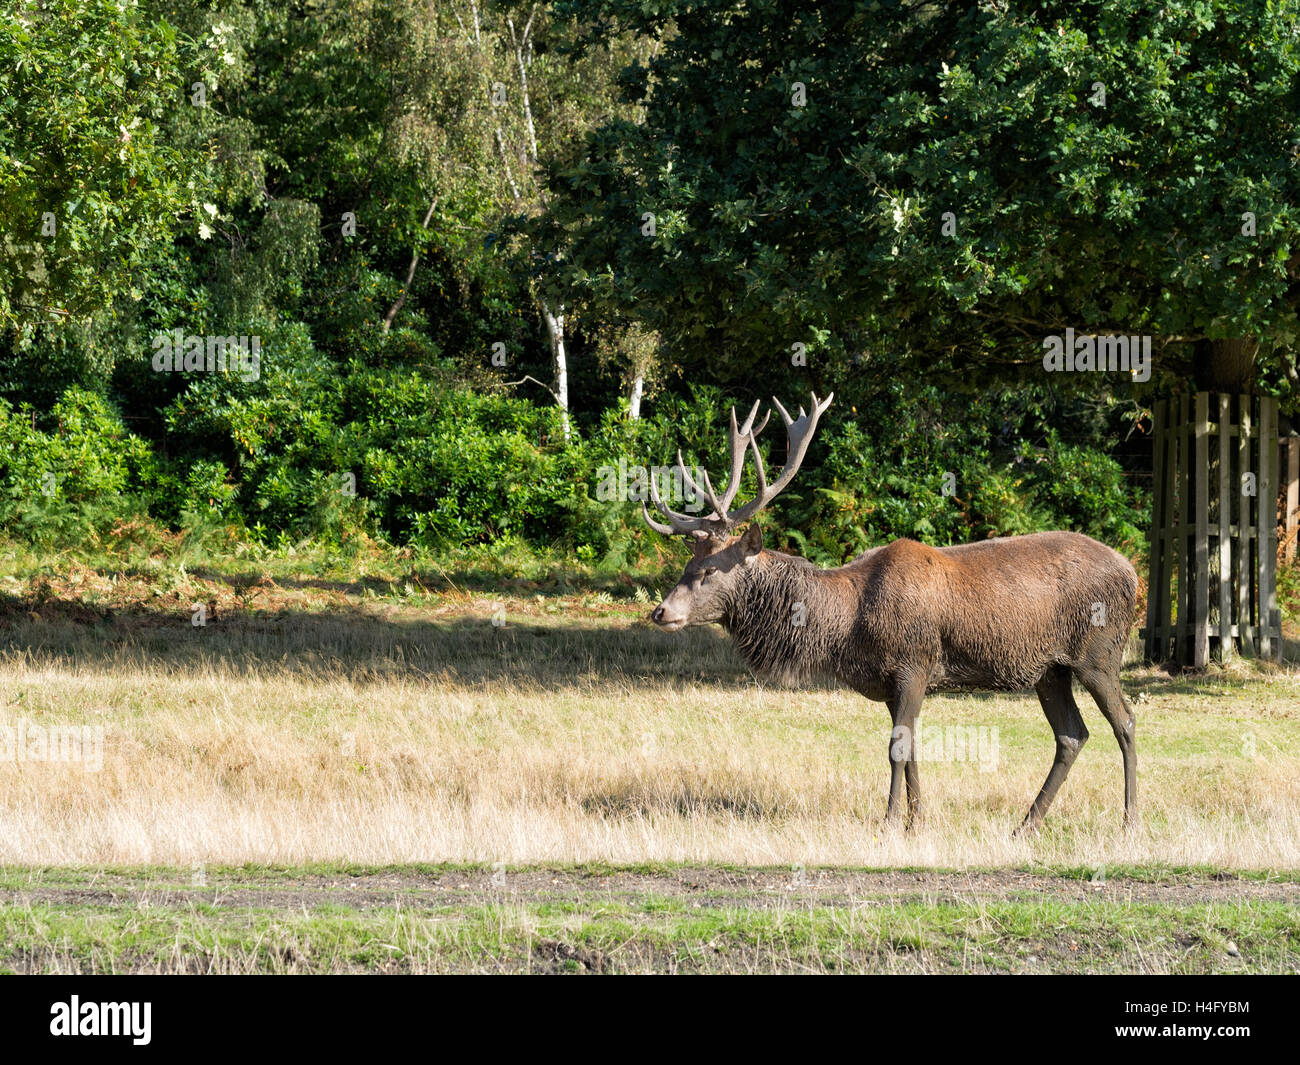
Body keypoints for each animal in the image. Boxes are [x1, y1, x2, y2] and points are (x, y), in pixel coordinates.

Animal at [642, 393, 1138, 832]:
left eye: (709, 569)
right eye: (686, 564)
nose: (660, 612)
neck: (846, 626)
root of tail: (1133, 572)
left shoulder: (913, 664)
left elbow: (897, 748)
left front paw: (890, 822)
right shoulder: (892, 681)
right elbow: (913, 746)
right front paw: (920, 821)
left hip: (1098, 653)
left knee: (1126, 722)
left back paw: (1129, 821)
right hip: (1049, 669)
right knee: (1071, 734)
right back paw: (1026, 825)